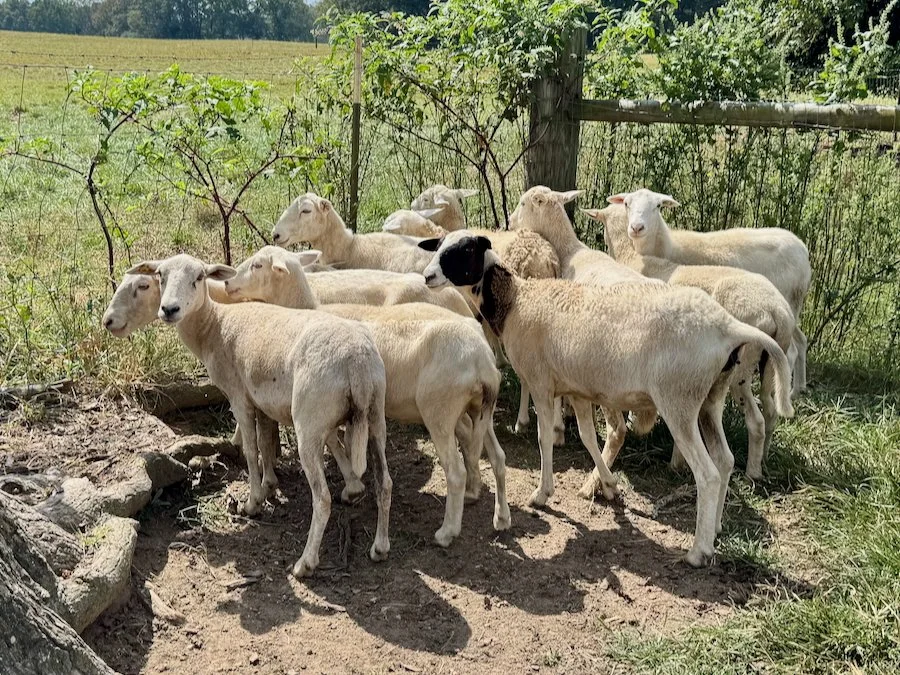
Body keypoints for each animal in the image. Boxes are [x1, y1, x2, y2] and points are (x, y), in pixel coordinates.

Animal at [125, 254, 392, 578]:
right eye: (160, 276)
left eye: (199, 277)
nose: (169, 309)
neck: (213, 326)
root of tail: (356, 361)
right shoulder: (269, 403)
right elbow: (270, 443)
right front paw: (271, 484)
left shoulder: (239, 396)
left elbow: (251, 449)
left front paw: (252, 502)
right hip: (374, 416)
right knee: (385, 483)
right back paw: (380, 547)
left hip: (309, 420)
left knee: (323, 497)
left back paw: (306, 562)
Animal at [225, 247, 511, 546]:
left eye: (257, 265)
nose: (228, 283)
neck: (306, 309)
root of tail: (482, 359)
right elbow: (349, 443)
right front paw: (355, 484)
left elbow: (340, 443)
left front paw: (352, 486)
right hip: (479, 409)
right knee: (496, 455)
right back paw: (498, 514)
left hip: (439, 412)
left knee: (455, 472)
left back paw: (447, 531)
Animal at [419, 230, 794, 566]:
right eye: (438, 246)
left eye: (465, 250)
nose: (427, 277)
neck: (516, 301)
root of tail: (727, 326)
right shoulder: (577, 389)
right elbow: (588, 437)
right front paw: (609, 485)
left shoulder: (541, 383)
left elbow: (544, 438)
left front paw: (543, 493)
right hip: (709, 398)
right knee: (726, 460)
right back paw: (713, 529)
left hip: (679, 401)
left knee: (708, 474)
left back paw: (698, 552)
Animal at [590, 203, 797, 479]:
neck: (631, 257)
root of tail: (779, 311)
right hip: (771, 363)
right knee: (771, 409)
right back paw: (763, 460)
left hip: (741, 368)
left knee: (756, 420)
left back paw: (752, 472)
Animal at [609, 189, 811, 394]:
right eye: (626, 204)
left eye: (658, 206)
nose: (637, 228)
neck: (668, 245)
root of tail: (802, 249)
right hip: (792, 306)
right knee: (801, 342)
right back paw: (798, 388)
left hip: (788, 300)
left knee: (791, 350)